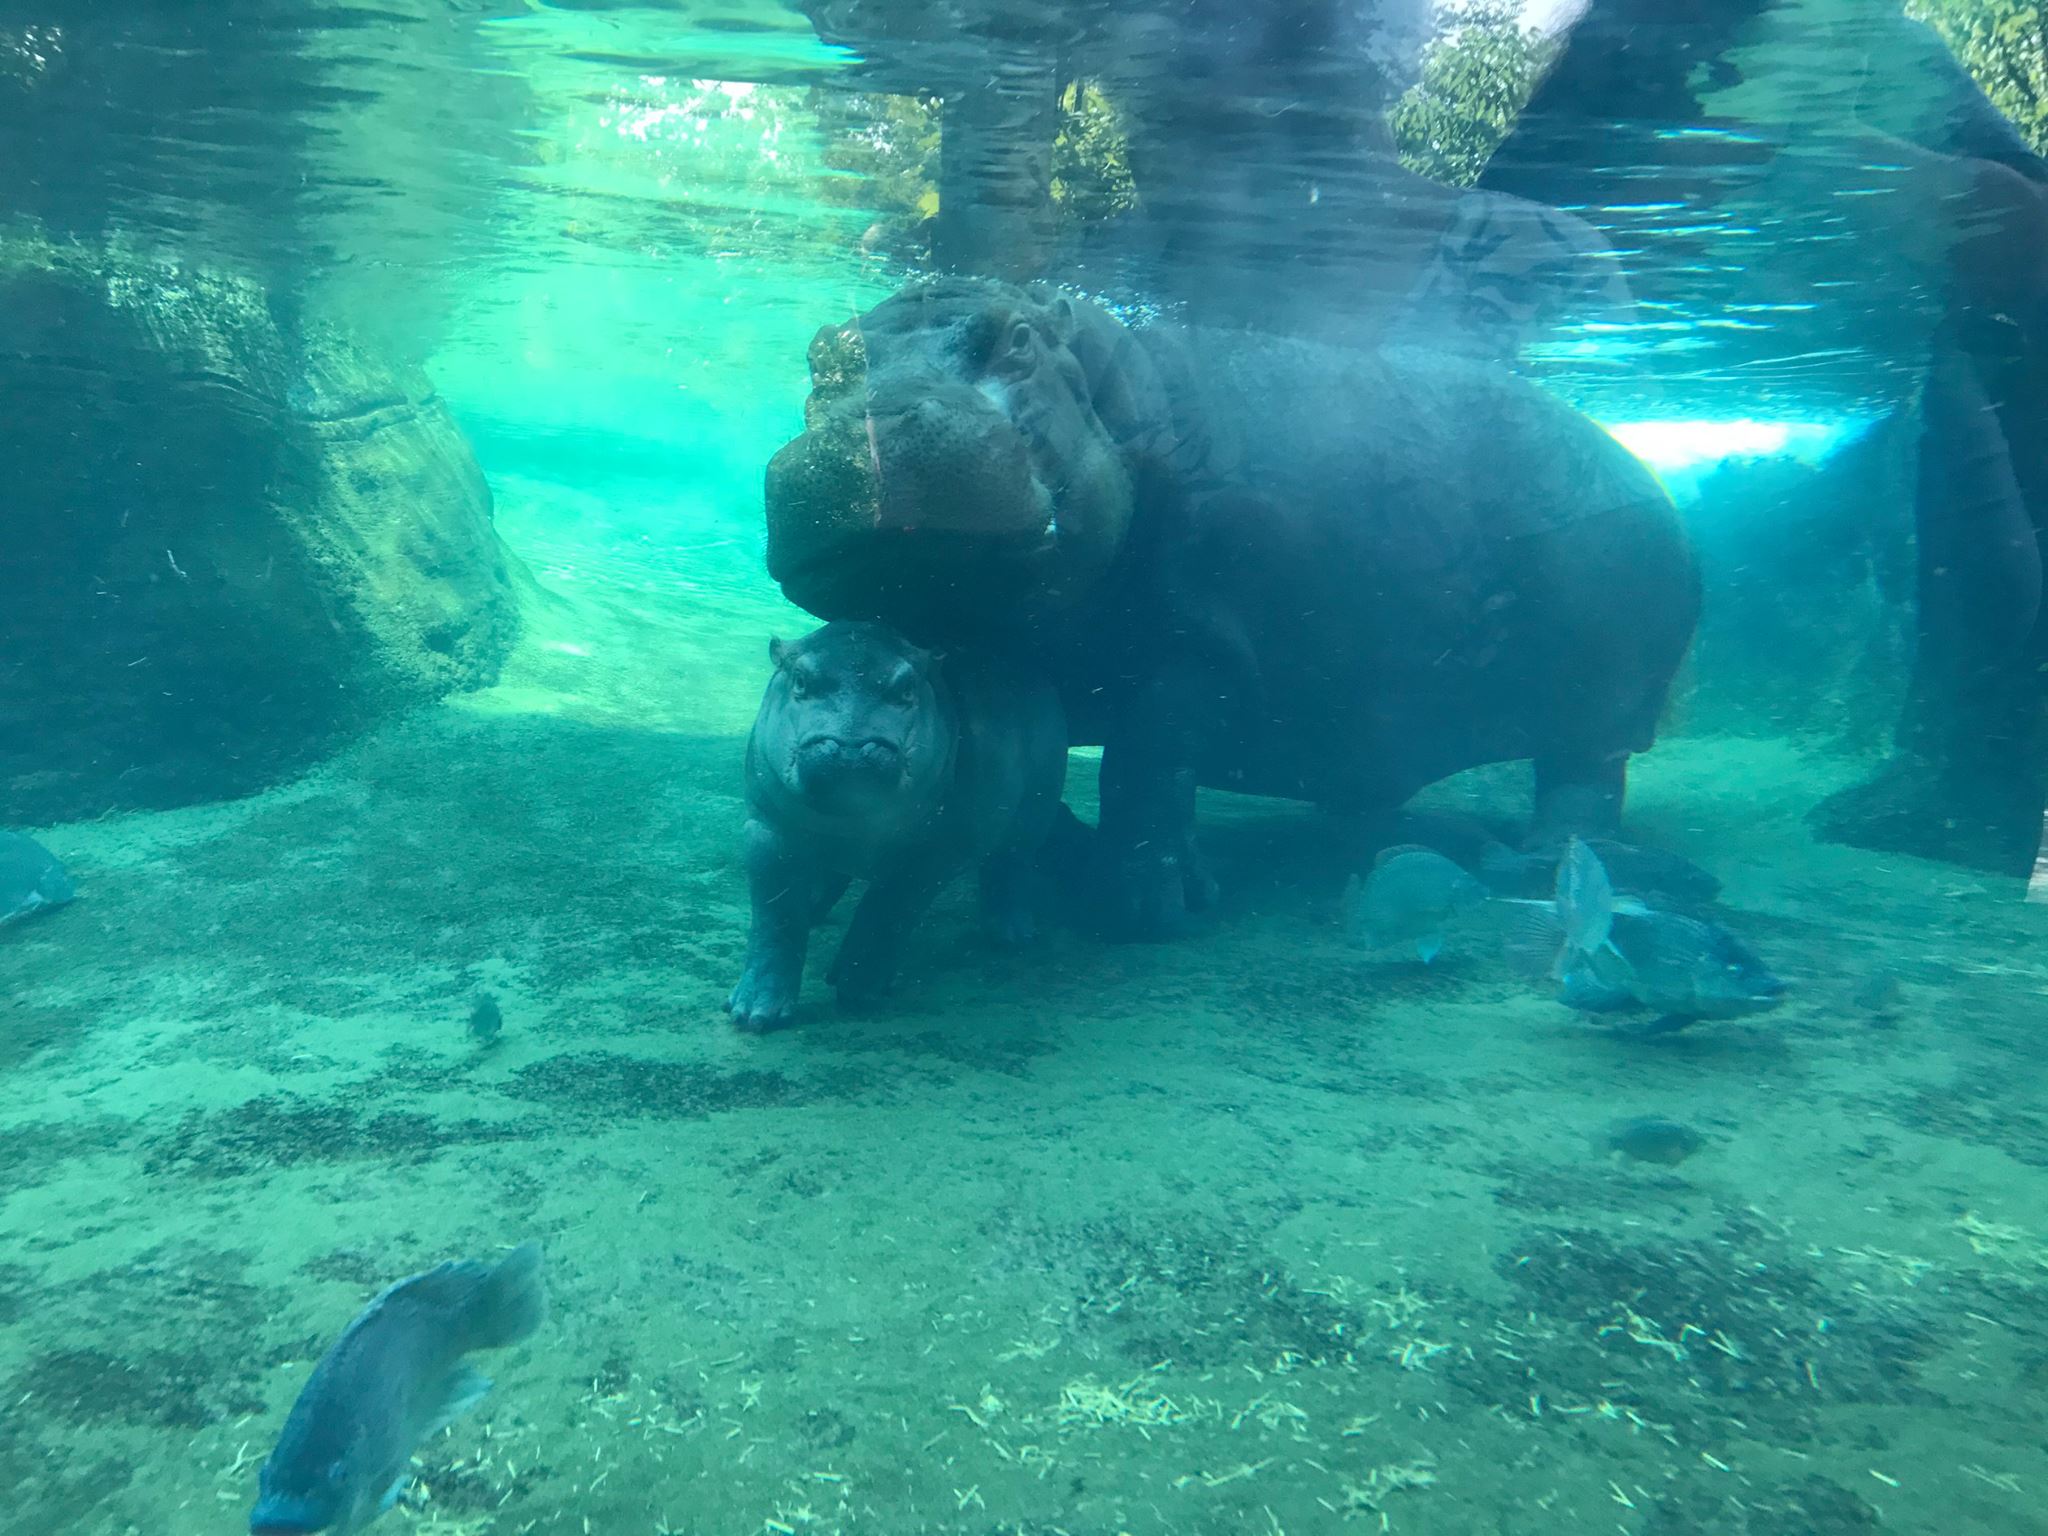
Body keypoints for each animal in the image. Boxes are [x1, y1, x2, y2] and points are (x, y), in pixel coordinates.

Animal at [727, 620, 1066, 1031]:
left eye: (907, 688)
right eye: (801, 680)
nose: (851, 749)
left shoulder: (933, 855)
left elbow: (887, 910)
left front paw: (858, 991)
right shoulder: (768, 830)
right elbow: (776, 918)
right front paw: (754, 1017)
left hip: (1036, 808)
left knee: (1009, 865)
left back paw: (1010, 936)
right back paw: (814, 908)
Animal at [765, 277, 1700, 937]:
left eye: (1019, 339)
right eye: (819, 357)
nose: (866, 436)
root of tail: (1632, 461)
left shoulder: (1196, 651)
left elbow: (1145, 764)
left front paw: (1143, 907)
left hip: (1602, 699)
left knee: (1583, 783)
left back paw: (1551, 864)